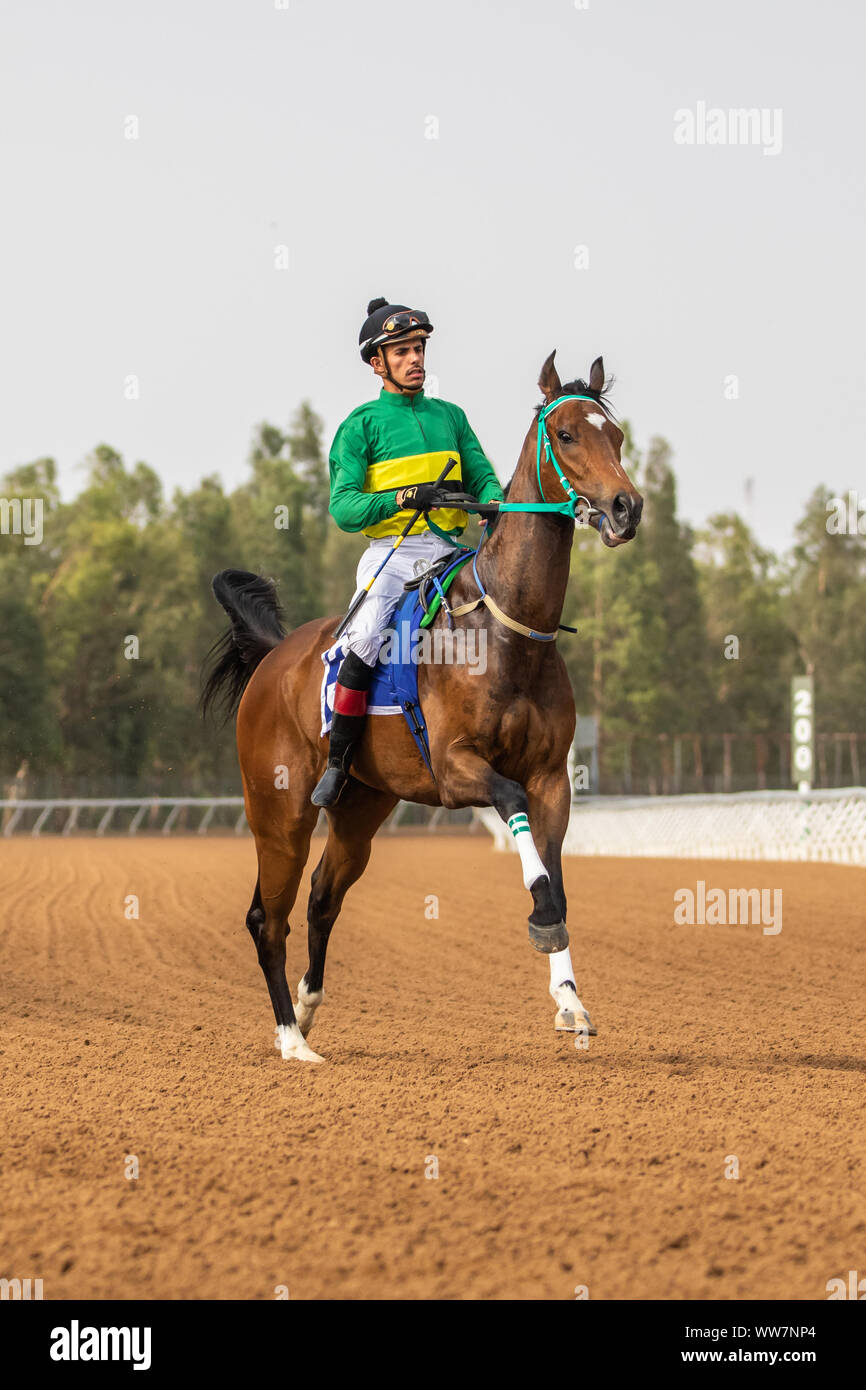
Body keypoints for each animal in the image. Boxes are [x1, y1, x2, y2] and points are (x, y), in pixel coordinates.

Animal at [201, 351, 643, 1062]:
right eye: (568, 434)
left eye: (619, 436)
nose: (626, 507)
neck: (505, 631)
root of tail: (273, 658)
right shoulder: (458, 768)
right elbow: (516, 819)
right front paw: (542, 923)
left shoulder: (552, 777)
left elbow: (554, 871)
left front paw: (570, 1000)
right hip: (280, 809)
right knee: (268, 915)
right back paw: (292, 1040)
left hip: (361, 805)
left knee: (322, 897)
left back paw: (308, 1007)